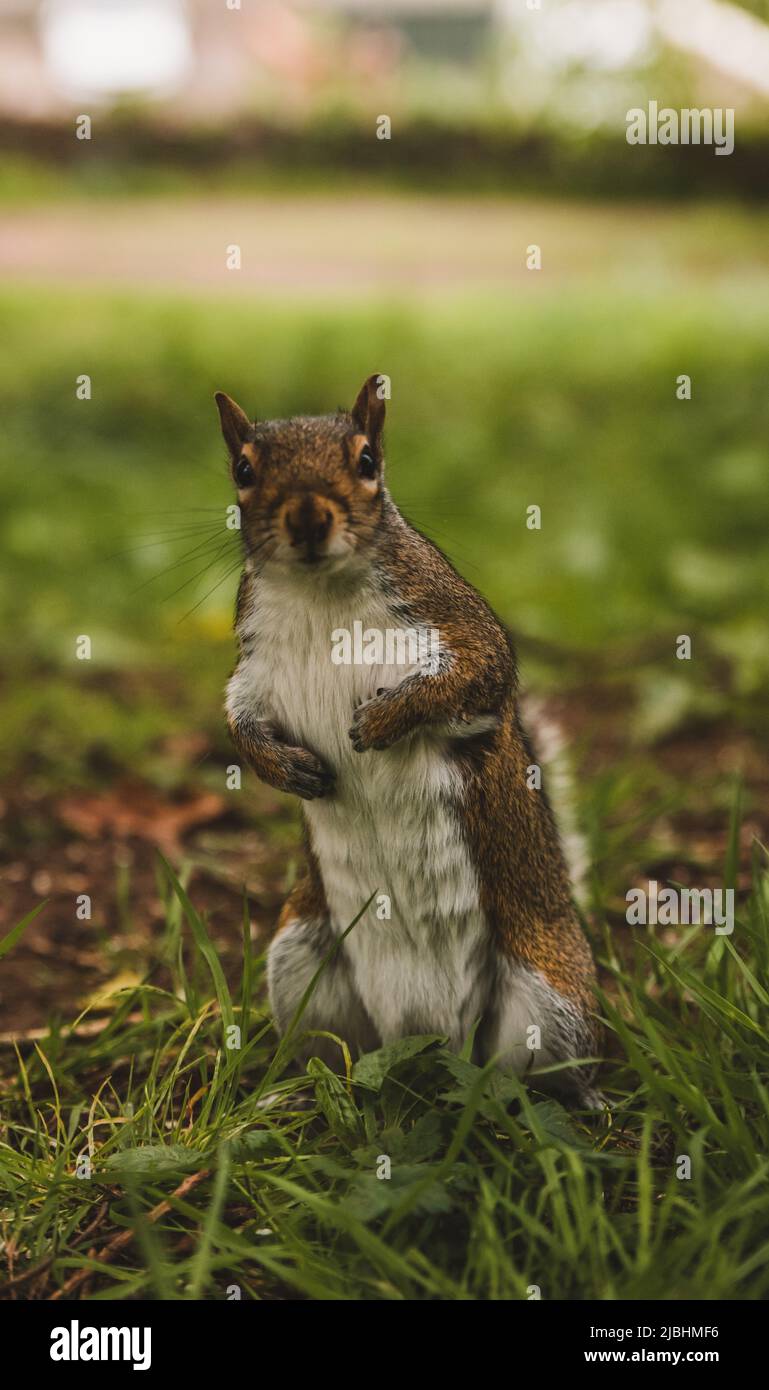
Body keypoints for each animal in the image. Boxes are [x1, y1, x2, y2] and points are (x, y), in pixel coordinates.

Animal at [215, 375, 600, 1106]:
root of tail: (427, 1038)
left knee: (534, 1075)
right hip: (301, 959)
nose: (308, 518)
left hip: (549, 996)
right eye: (243, 471)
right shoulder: (254, 667)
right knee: (336, 1053)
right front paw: (283, 767)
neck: (320, 594)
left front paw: (384, 721)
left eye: (368, 460)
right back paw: (304, 1091)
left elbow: (476, 677)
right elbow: (238, 722)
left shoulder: (452, 621)